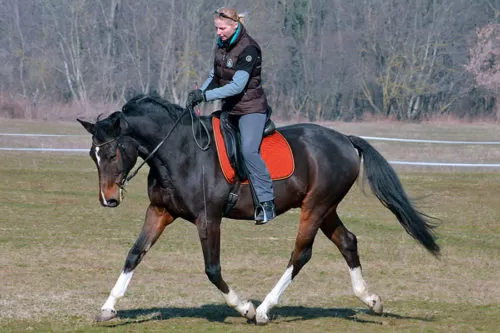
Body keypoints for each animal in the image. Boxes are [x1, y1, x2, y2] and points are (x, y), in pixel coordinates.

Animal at [76, 93, 440, 324]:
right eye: (93, 155)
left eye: (112, 153)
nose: (108, 199)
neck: (179, 153)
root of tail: (345, 140)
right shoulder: (159, 212)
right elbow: (134, 254)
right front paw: (108, 308)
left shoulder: (208, 219)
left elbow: (212, 269)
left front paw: (245, 308)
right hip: (325, 208)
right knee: (347, 241)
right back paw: (371, 300)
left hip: (315, 207)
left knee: (301, 254)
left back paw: (264, 309)